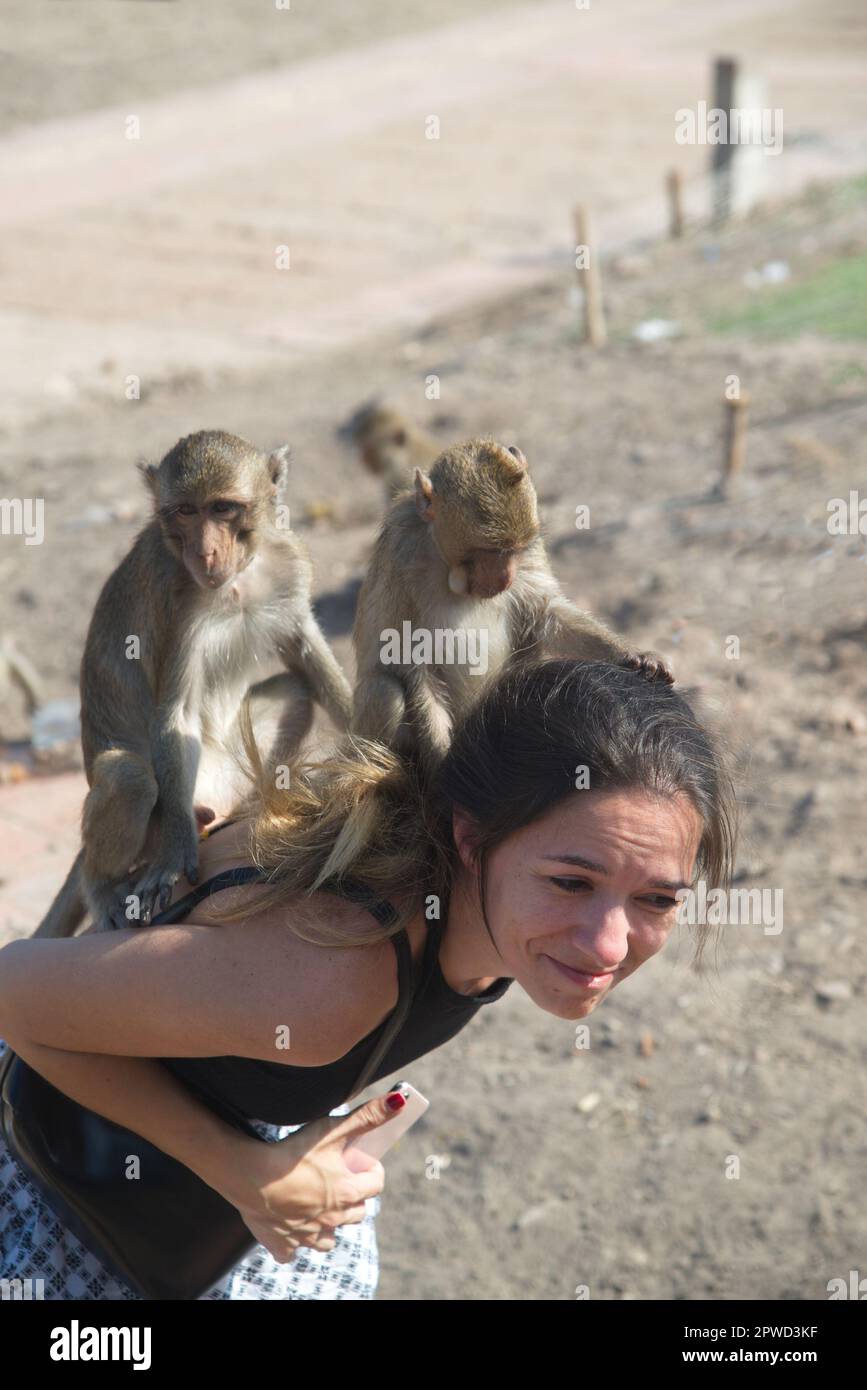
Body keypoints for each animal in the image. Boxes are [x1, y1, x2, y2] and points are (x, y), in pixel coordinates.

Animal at [33, 429, 353, 939]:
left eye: (222, 508)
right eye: (184, 511)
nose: (204, 552)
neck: (237, 582)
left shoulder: (288, 568)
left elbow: (307, 658)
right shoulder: (175, 602)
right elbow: (176, 713)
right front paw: (172, 858)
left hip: (228, 773)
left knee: (296, 694)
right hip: (170, 802)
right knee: (130, 779)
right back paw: (101, 884)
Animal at [351, 437, 673, 769]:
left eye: (514, 549)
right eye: (488, 551)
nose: (505, 579)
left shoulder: (531, 552)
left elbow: (546, 613)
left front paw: (635, 656)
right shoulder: (402, 555)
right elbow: (409, 656)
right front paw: (441, 763)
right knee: (384, 690)